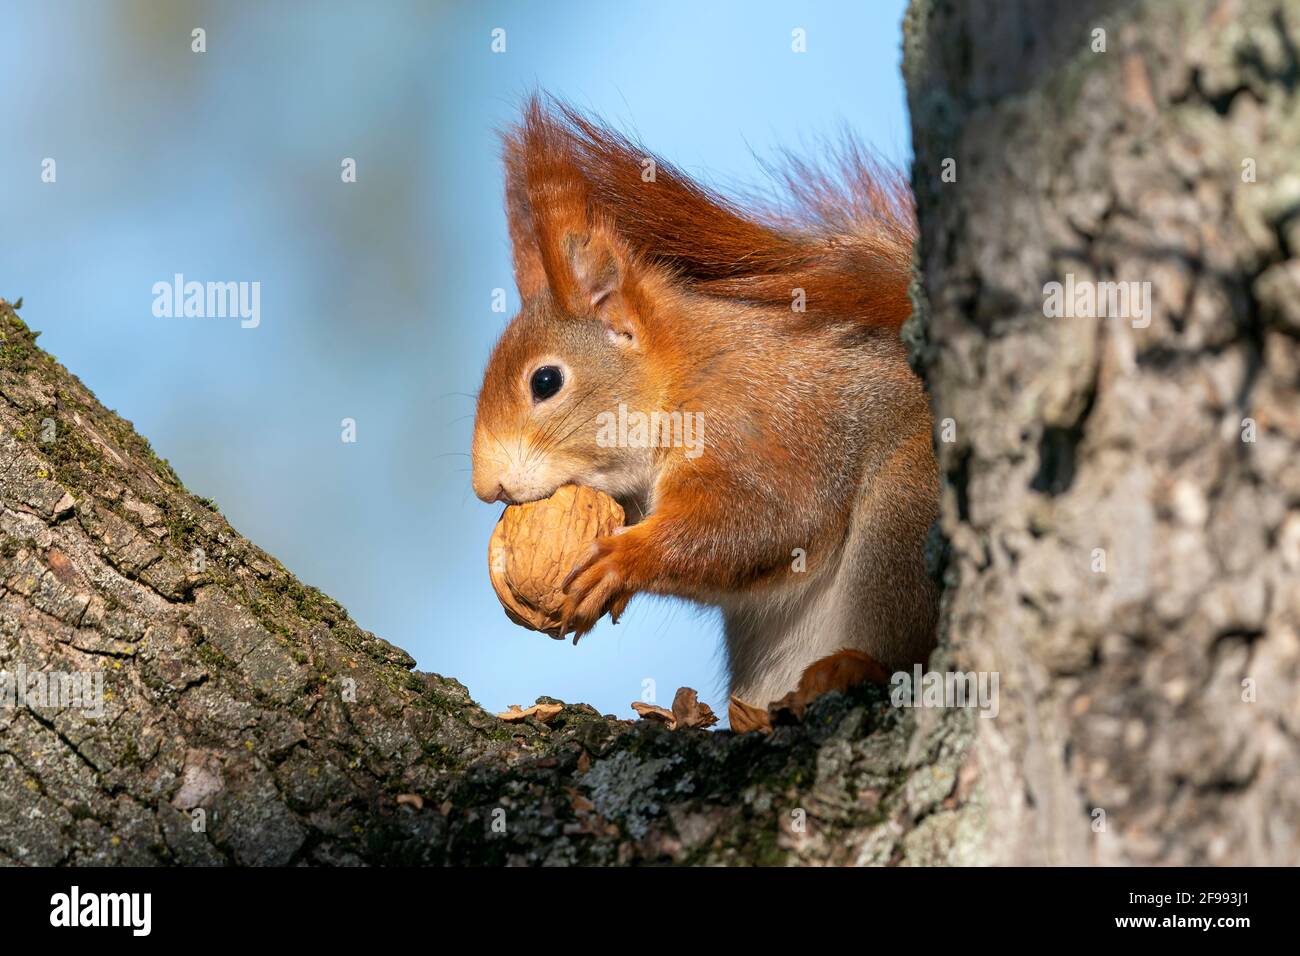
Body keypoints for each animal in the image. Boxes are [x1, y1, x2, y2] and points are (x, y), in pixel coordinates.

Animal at [472, 98, 940, 708]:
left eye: (545, 381)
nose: (486, 488)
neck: (680, 381)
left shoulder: (761, 429)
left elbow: (768, 520)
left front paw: (625, 561)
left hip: (904, 515)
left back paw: (854, 666)